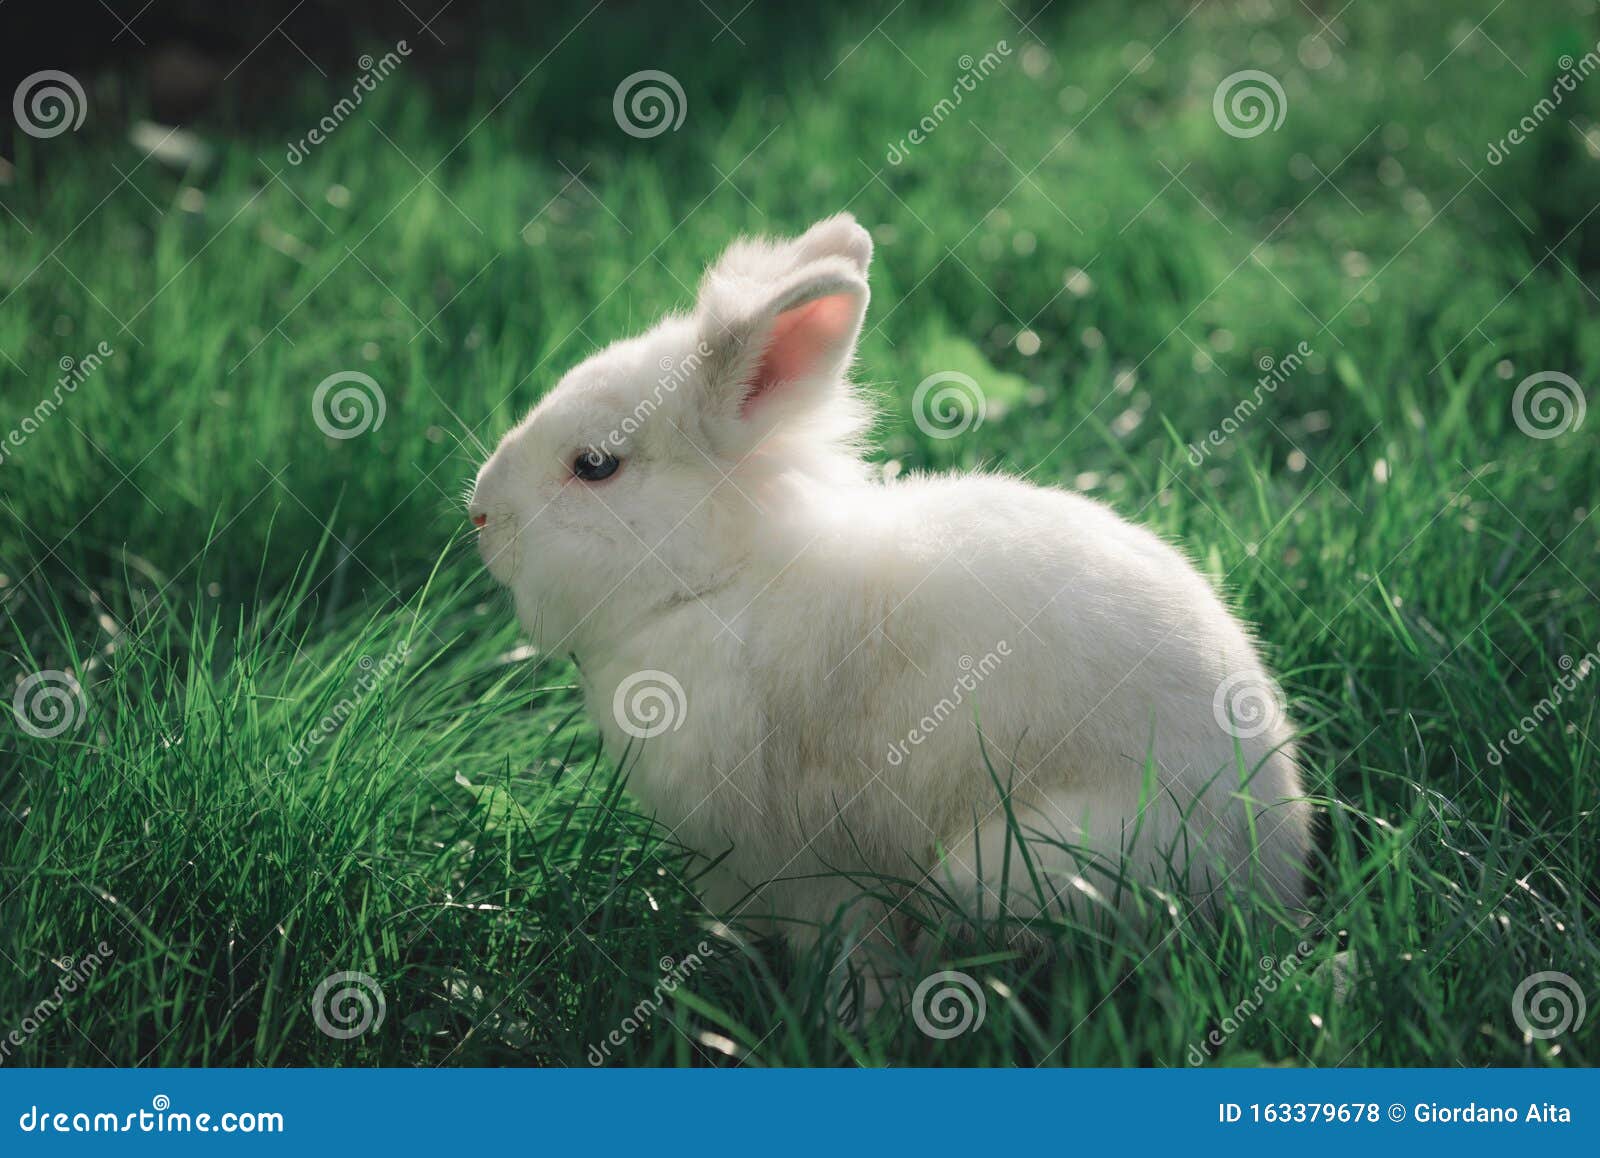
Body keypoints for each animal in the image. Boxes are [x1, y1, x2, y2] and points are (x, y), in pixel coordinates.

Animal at [470, 213, 1312, 1005]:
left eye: (594, 466)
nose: (480, 515)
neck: (723, 581)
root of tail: (1273, 868)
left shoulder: (814, 864)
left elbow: (849, 943)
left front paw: (851, 1014)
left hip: (1020, 864)